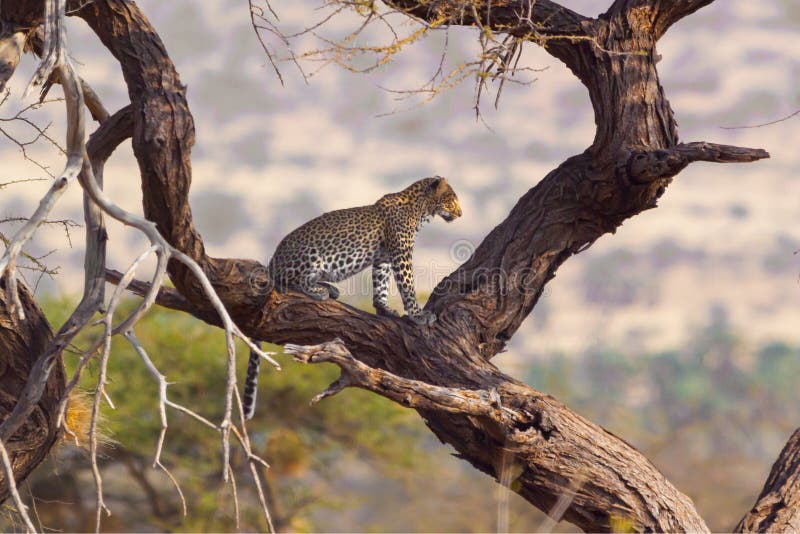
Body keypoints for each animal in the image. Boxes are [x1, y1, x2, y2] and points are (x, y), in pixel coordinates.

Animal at [242, 176, 462, 419]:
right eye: (452, 200)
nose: (461, 214)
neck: (419, 208)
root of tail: (272, 262)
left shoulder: (383, 258)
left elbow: (380, 285)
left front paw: (384, 308)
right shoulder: (401, 254)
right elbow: (407, 286)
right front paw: (418, 315)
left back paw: (331, 289)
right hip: (310, 256)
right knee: (288, 281)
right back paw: (319, 290)